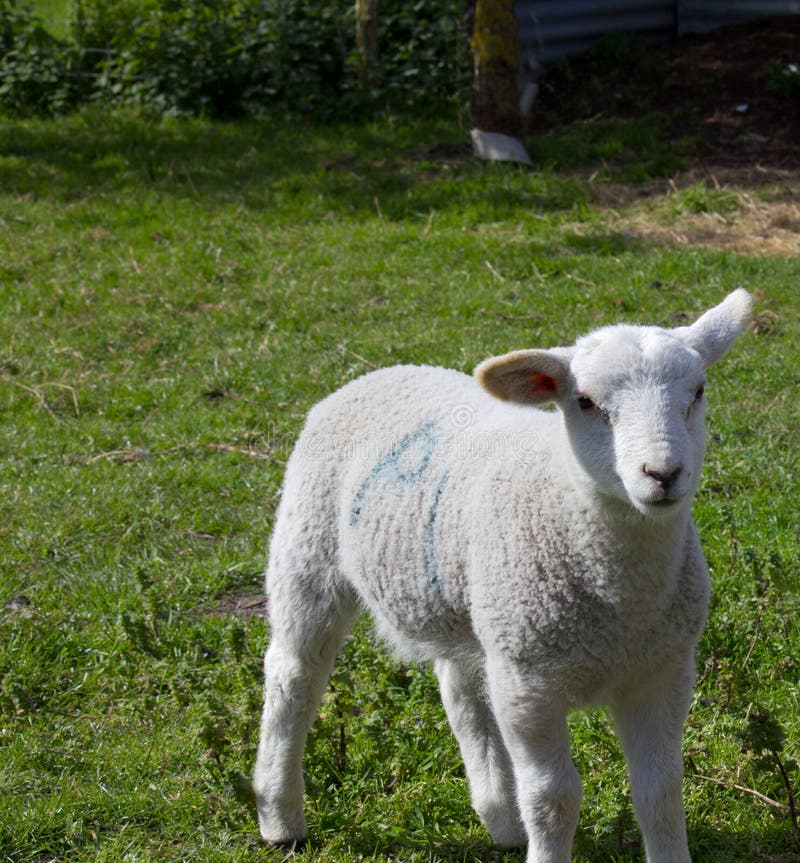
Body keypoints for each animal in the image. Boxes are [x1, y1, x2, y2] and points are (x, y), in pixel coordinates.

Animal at [252, 289, 753, 863]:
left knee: (460, 688)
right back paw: (280, 817)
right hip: (307, 548)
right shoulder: (527, 683)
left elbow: (661, 789)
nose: (663, 474)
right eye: (585, 402)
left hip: (465, 599)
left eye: (699, 391)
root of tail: (383, 371)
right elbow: (554, 797)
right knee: (294, 675)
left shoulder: (663, 669)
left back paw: (501, 816)